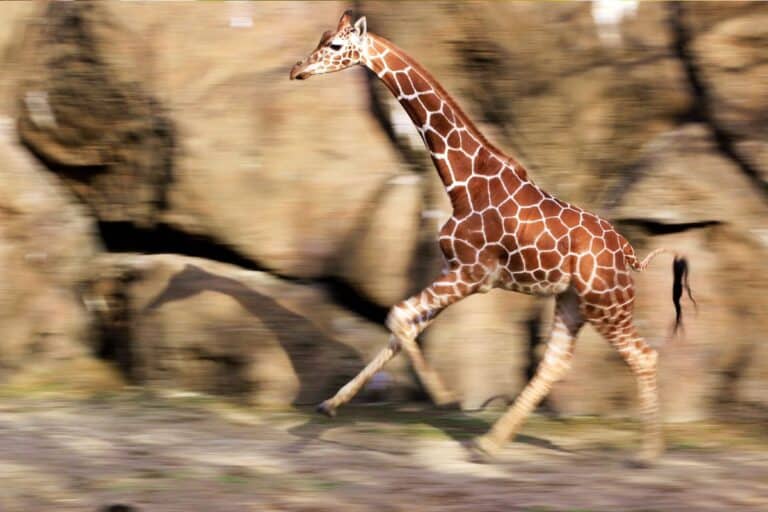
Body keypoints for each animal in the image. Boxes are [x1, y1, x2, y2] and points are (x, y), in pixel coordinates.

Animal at [289, 11, 693, 463]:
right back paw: (488, 443)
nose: (297, 70)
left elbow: (397, 317)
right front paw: (330, 404)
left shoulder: (469, 273)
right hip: (573, 302)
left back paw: (649, 454)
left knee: (643, 355)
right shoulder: (457, 273)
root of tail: (627, 253)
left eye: (337, 46)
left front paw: (444, 396)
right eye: (322, 37)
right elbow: (401, 327)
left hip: (607, 302)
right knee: (555, 363)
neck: (462, 181)